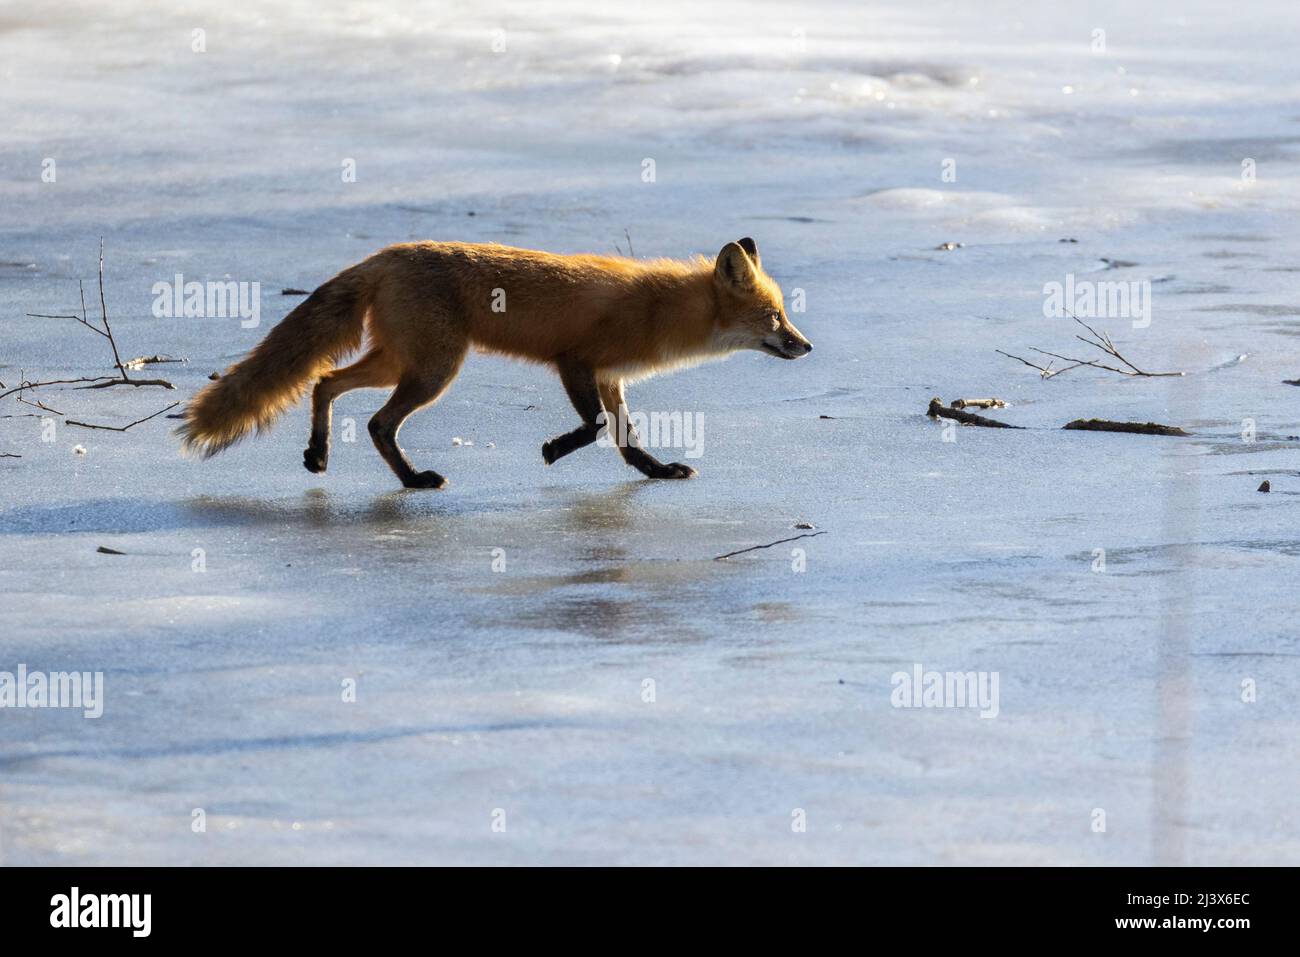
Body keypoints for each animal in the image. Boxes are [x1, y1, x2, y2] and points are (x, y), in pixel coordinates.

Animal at [177, 237, 812, 489]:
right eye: (775, 317)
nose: (806, 347)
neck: (661, 308)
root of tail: (385, 255)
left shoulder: (609, 377)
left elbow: (626, 439)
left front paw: (656, 472)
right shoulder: (575, 362)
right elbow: (593, 428)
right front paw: (553, 450)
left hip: (400, 363)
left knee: (324, 381)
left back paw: (319, 453)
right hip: (433, 370)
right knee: (377, 422)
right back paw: (413, 481)